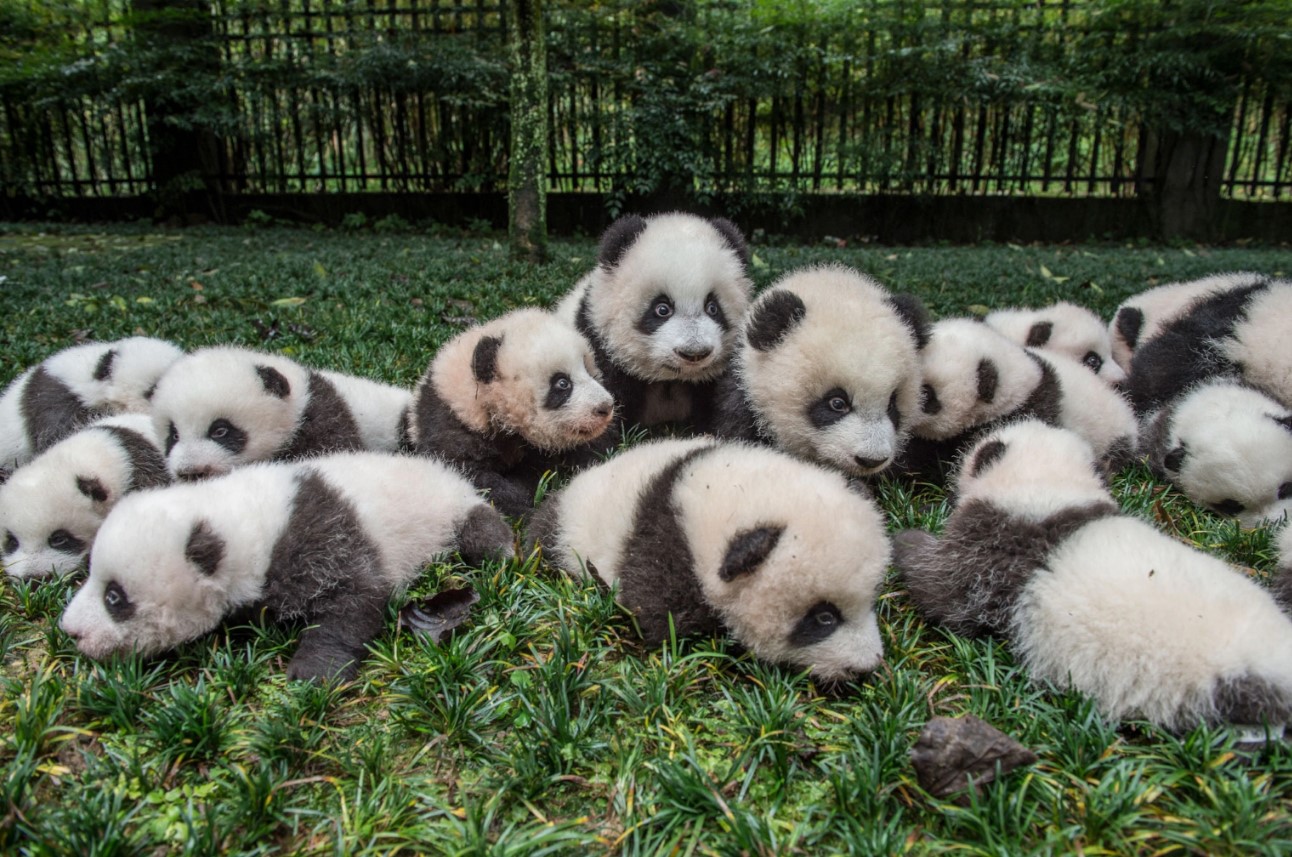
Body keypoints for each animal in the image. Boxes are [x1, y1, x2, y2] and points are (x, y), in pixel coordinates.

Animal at [59, 452, 515, 682]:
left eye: (114, 597)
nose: (71, 631)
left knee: (480, 531)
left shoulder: (322, 536)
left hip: (447, 509)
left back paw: (504, 550)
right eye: (89, 575)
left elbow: (356, 598)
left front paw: (313, 672)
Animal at [409, 308, 615, 517]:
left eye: (589, 370)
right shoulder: (451, 426)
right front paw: (520, 506)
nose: (605, 407)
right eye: (563, 383)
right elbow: (474, 477)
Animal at [527, 438, 890, 684]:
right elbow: (659, 618)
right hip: (569, 530)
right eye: (824, 618)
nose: (866, 665)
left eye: (871, 601)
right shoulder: (666, 545)